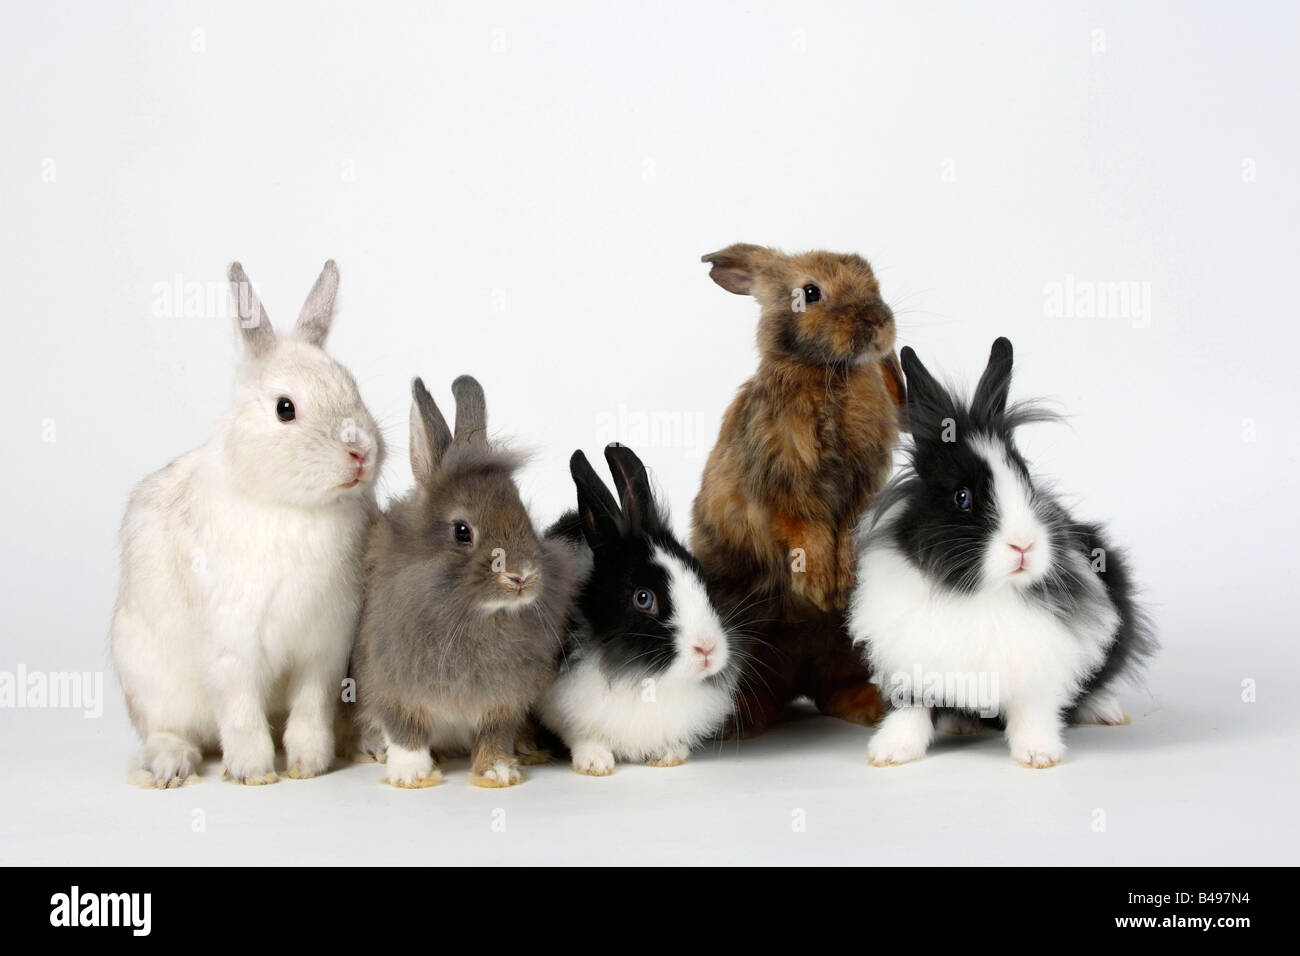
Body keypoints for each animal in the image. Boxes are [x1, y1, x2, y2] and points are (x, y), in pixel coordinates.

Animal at [110, 260, 384, 787]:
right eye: (285, 408)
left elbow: (310, 710)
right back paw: (171, 765)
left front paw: (307, 765)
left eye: (354, 389)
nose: (360, 453)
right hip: (147, 679)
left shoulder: (323, 651)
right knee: (166, 730)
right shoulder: (233, 648)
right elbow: (239, 710)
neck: (295, 507)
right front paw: (254, 771)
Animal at [351, 375, 578, 788]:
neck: (477, 617)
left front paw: (498, 771)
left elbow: (494, 735)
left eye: (523, 515)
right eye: (461, 531)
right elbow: (405, 729)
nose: (522, 577)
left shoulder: (503, 703)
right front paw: (411, 773)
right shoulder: (389, 684)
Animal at [538, 444, 739, 776]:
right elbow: (581, 733)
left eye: (701, 578)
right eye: (643, 598)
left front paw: (670, 754)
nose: (707, 650)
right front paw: (595, 762)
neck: (643, 674)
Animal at [688, 243, 906, 737]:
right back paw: (743, 718)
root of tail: (797, 683)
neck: (830, 373)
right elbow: (805, 528)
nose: (877, 322)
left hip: (848, 648)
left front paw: (840, 580)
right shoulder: (783, 486)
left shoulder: (859, 492)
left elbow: (845, 529)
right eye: (810, 292)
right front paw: (819, 583)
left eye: (875, 282)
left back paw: (871, 705)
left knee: (834, 688)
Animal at [847, 337, 1157, 768]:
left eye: (1025, 478)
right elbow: (911, 709)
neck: (980, 592)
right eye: (962, 497)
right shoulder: (910, 659)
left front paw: (1039, 754)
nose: (1023, 544)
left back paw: (1106, 711)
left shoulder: (1038, 659)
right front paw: (890, 753)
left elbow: (1033, 709)